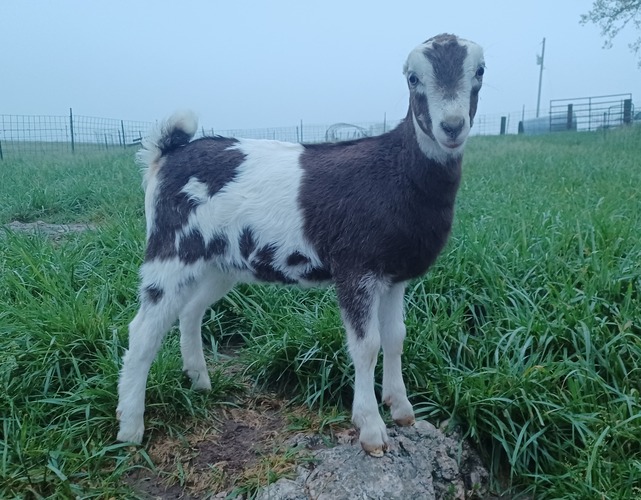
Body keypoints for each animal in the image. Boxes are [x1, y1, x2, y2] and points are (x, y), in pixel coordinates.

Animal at [116, 33, 485, 457]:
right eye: (412, 78)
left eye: (479, 71)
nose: (451, 126)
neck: (397, 172)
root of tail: (166, 155)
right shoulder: (356, 269)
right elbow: (367, 345)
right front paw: (371, 429)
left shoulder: (395, 275)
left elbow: (395, 338)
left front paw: (402, 409)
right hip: (172, 249)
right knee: (143, 330)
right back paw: (130, 428)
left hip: (218, 262)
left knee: (190, 311)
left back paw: (200, 382)